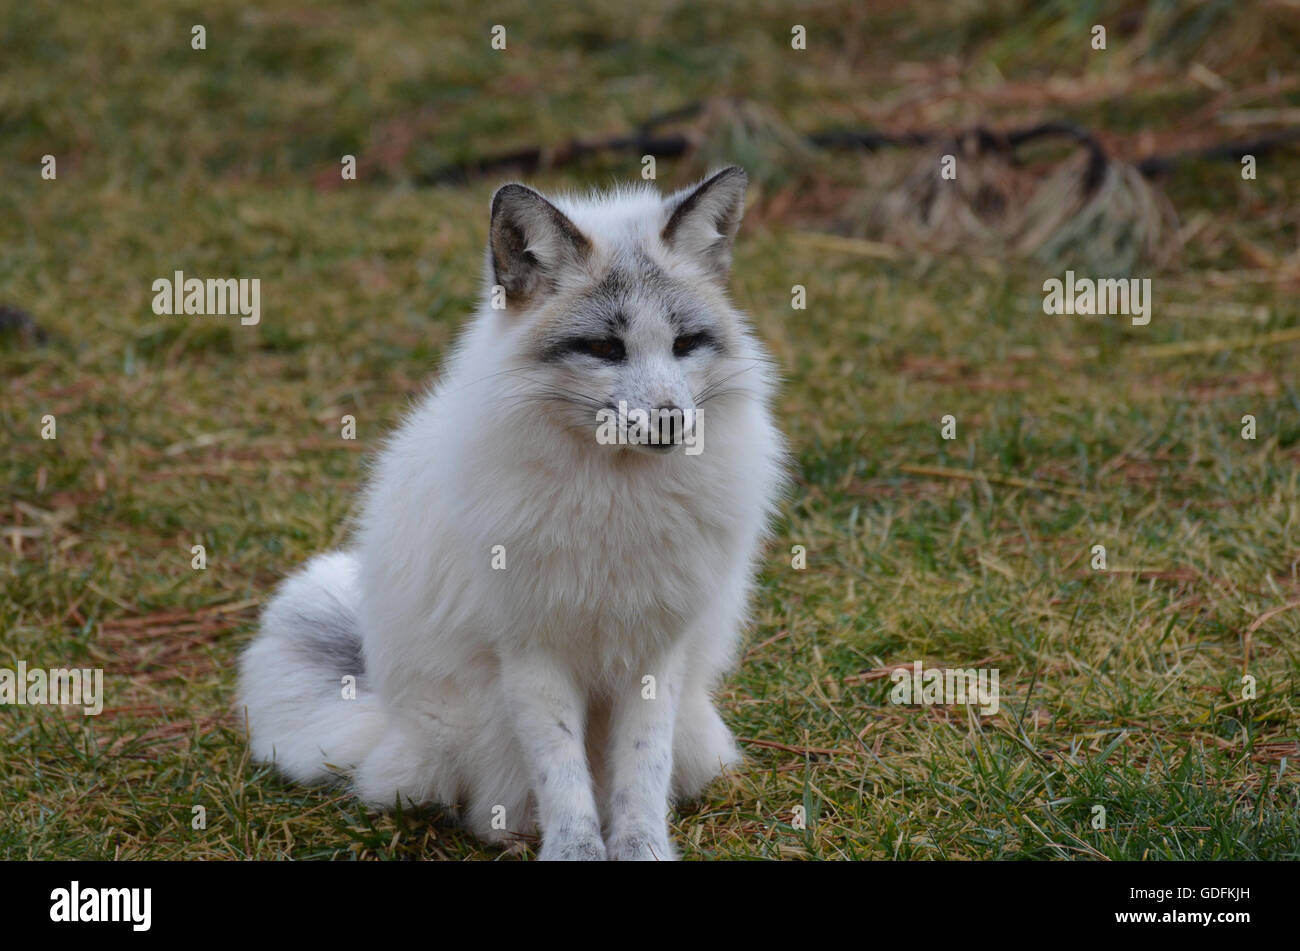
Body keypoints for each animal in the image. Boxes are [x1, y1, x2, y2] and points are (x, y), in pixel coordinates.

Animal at [237, 166, 787, 860]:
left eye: (686, 343)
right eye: (604, 347)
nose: (671, 421)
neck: (614, 503)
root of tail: (386, 720)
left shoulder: (656, 650)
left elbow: (642, 769)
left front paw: (640, 849)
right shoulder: (530, 650)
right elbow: (561, 775)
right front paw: (577, 853)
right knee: (483, 808)